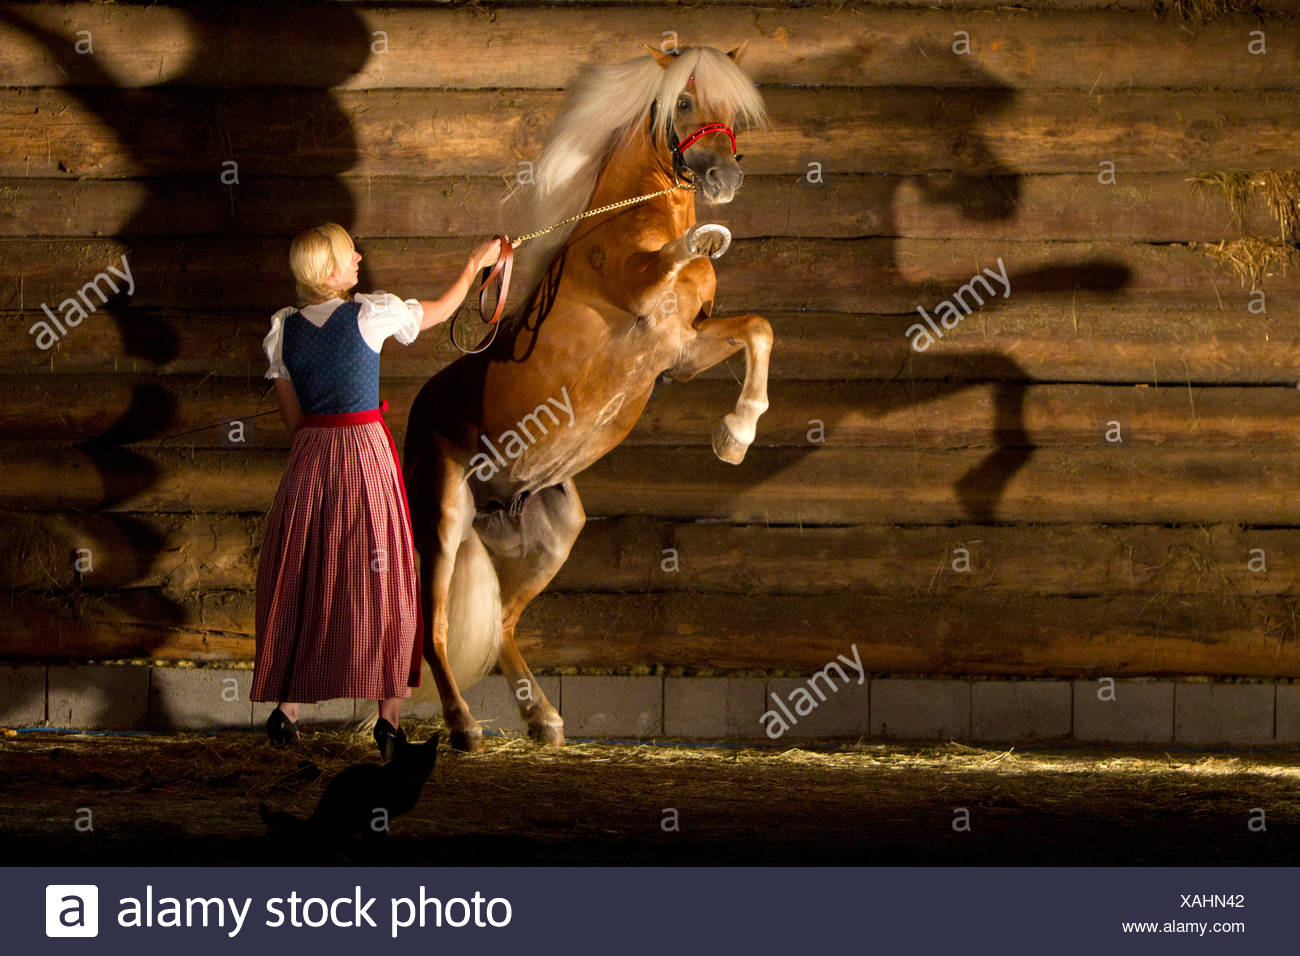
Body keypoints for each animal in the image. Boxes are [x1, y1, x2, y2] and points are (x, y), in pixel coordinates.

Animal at [402, 43, 772, 752]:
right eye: (684, 101)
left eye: (736, 111)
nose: (724, 178)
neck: (635, 217)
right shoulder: (640, 296)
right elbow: (681, 258)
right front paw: (707, 238)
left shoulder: (682, 352)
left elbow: (758, 330)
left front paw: (734, 437)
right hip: (443, 521)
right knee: (432, 632)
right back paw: (464, 727)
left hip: (554, 535)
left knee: (504, 623)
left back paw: (543, 719)